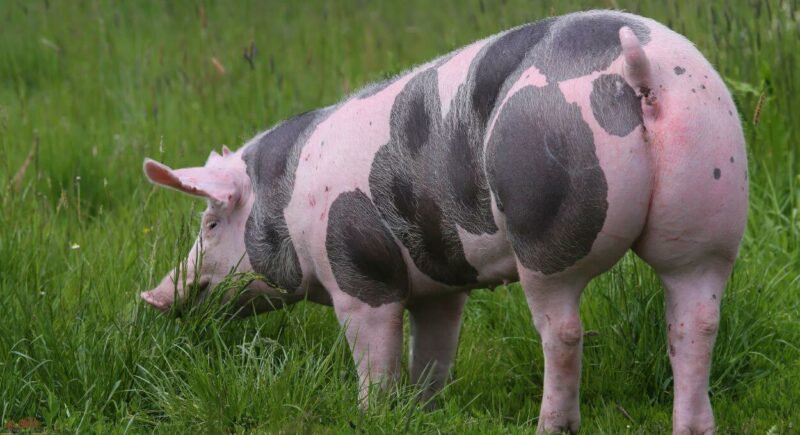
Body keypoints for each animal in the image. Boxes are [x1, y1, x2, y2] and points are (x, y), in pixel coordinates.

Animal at [141, 10, 747, 434]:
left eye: (210, 223)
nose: (153, 296)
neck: (288, 203)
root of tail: (637, 70)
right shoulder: (438, 285)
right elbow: (434, 350)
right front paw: (425, 409)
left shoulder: (358, 275)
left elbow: (374, 355)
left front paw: (374, 414)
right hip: (710, 211)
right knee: (695, 321)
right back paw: (693, 427)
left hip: (544, 223)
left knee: (564, 330)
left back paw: (552, 425)